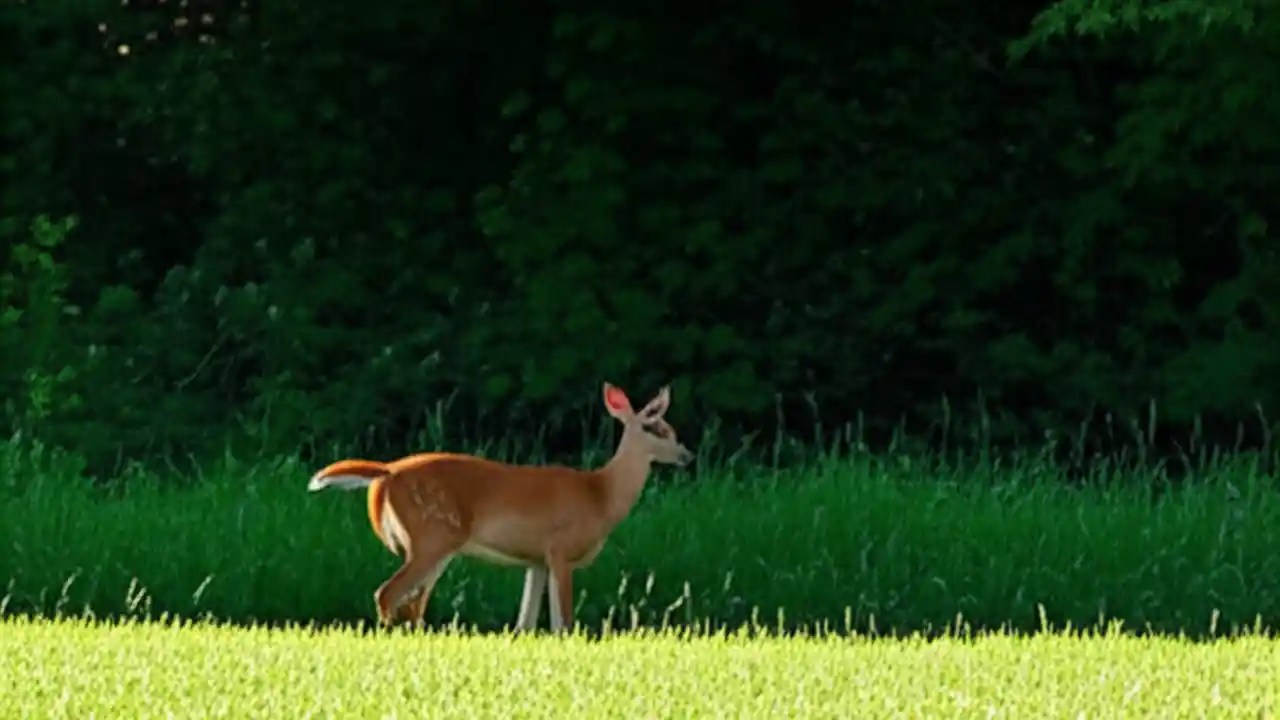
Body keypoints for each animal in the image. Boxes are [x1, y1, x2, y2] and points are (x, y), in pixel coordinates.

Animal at [305, 382, 694, 633]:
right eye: (653, 427)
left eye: (671, 428)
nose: (687, 455)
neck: (601, 495)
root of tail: (386, 472)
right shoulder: (560, 548)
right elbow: (563, 622)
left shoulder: (536, 560)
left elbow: (526, 624)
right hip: (432, 535)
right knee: (388, 594)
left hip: (435, 544)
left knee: (412, 605)